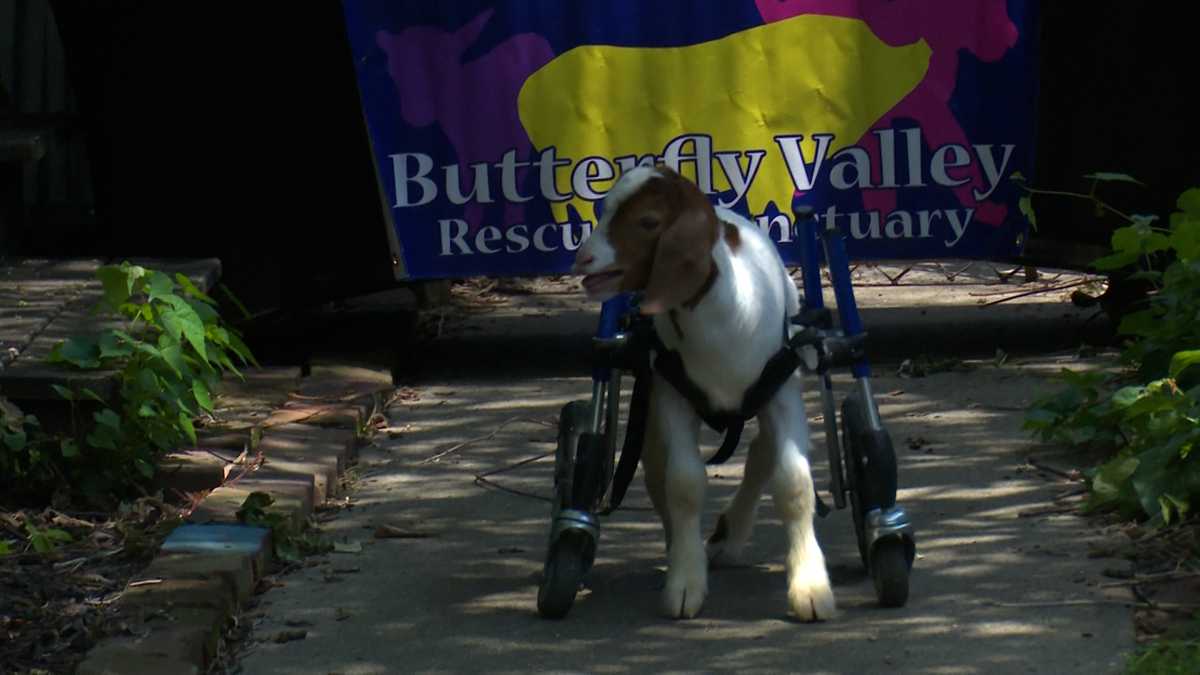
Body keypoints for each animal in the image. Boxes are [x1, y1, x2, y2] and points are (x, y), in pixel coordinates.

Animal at [572, 165, 835, 620]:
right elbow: (682, 484)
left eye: (648, 221)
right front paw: (684, 581)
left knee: (762, 452)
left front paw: (811, 587)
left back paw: (730, 537)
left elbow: (794, 482)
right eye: (604, 209)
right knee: (659, 471)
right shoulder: (673, 397)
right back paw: (694, 545)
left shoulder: (781, 391)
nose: (582, 258)